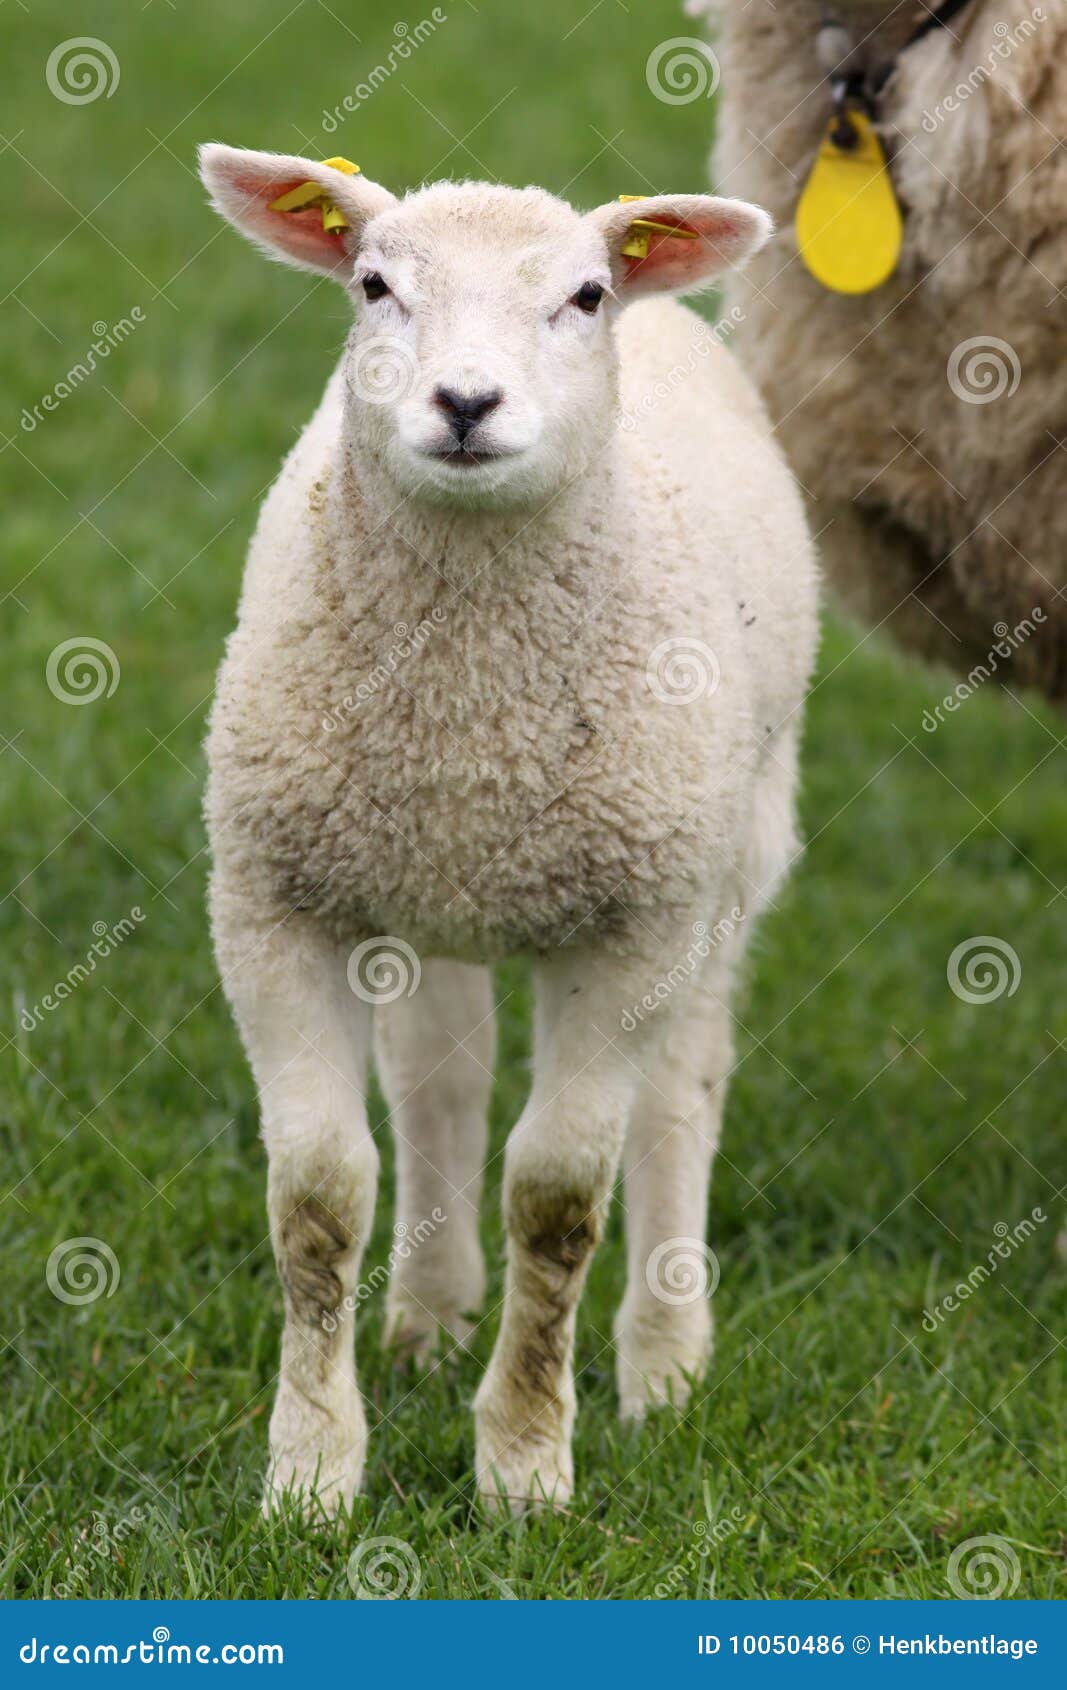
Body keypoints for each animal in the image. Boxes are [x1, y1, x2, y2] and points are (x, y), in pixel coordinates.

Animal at [197, 142, 818, 1516]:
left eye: (582, 298)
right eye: (373, 284)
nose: (466, 403)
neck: (470, 706)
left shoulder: (633, 927)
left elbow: (557, 1195)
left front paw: (526, 1466)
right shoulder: (271, 900)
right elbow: (319, 1192)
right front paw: (311, 1474)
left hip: (724, 859)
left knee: (680, 1091)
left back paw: (661, 1360)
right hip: (427, 890)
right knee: (439, 1080)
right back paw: (428, 1320)